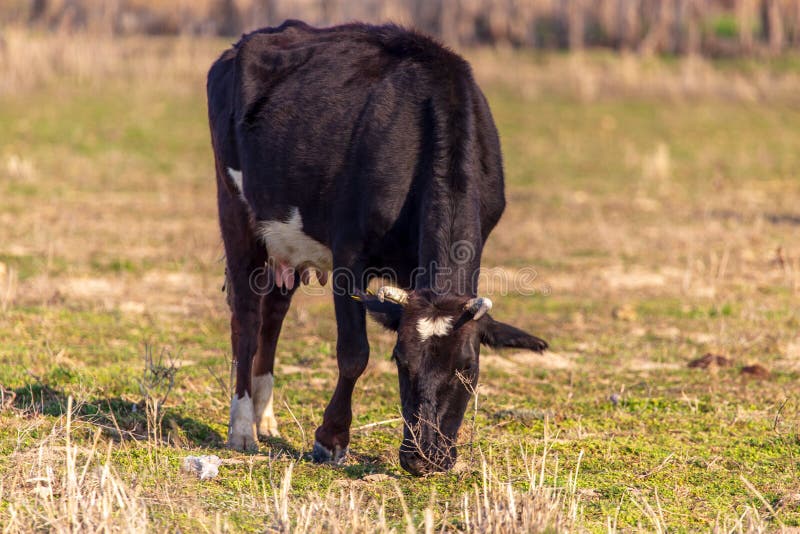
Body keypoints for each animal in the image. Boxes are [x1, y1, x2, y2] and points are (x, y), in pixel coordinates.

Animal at [207, 20, 548, 476]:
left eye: (468, 370)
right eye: (401, 362)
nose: (423, 458)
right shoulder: (349, 255)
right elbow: (354, 352)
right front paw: (330, 439)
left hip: (286, 236)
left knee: (274, 312)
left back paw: (265, 418)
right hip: (236, 205)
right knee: (246, 314)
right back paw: (243, 428)